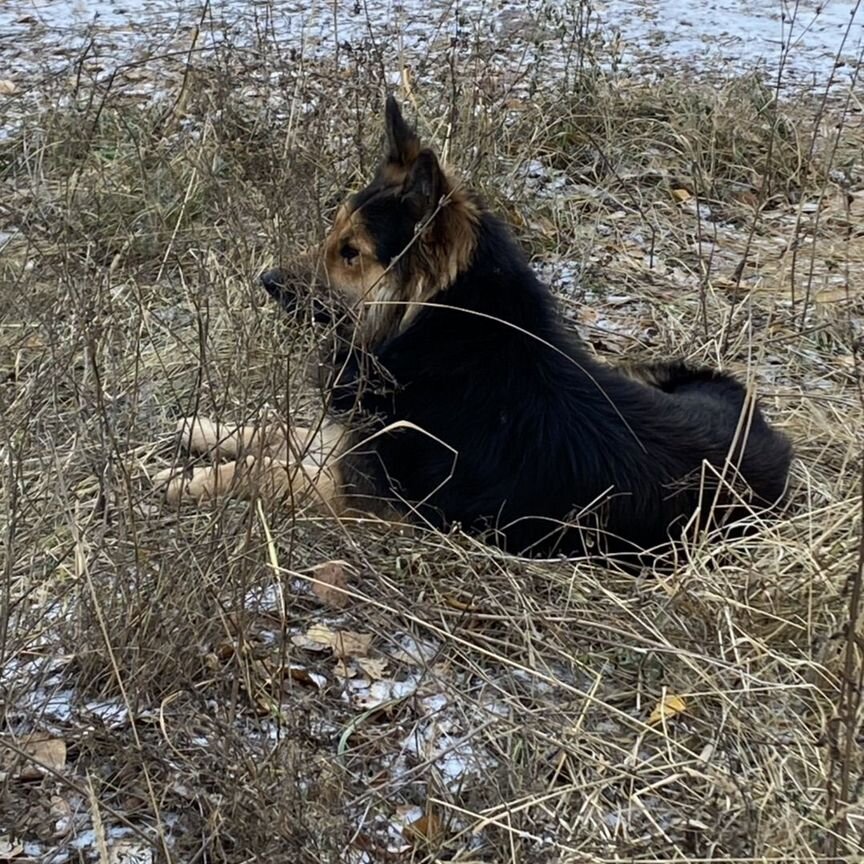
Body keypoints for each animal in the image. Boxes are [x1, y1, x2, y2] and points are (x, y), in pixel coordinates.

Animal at [157, 96, 796, 568]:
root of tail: (778, 444)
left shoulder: (366, 490)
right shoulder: (356, 432)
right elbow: (275, 429)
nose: (266, 282)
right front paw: (204, 429)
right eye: (333, 234)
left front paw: (183, 481)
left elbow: (268, 467)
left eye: (351, 252)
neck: (433, 326)